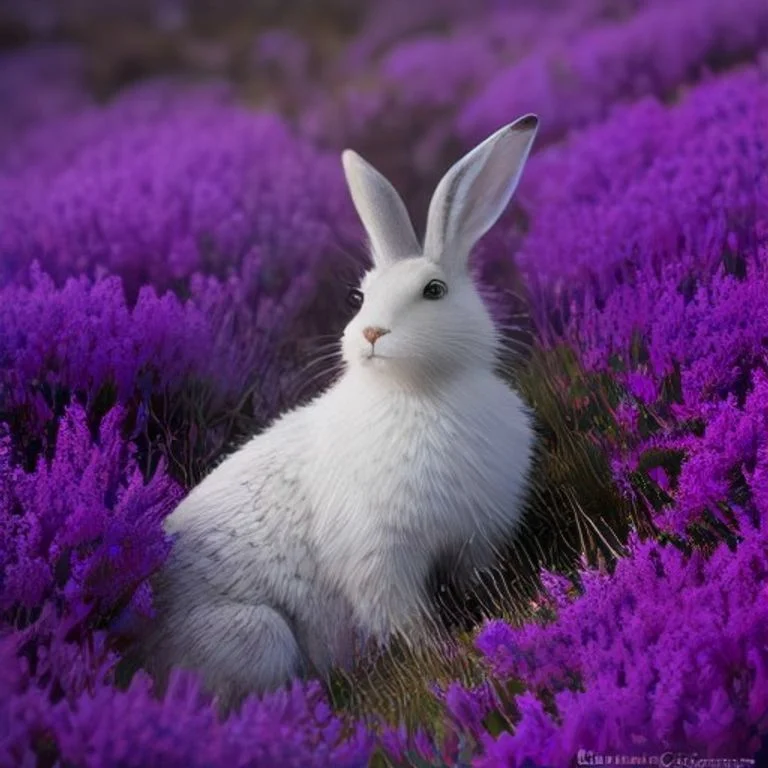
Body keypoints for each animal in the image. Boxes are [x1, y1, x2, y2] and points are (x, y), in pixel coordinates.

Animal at [138, 113, 540, 713]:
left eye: (435, 290)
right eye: (359, 297)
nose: (371, 333)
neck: (418, 393)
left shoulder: (477, 537)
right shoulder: (379, 557)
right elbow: (403, 617)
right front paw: (442, 653)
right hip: (259, 636)